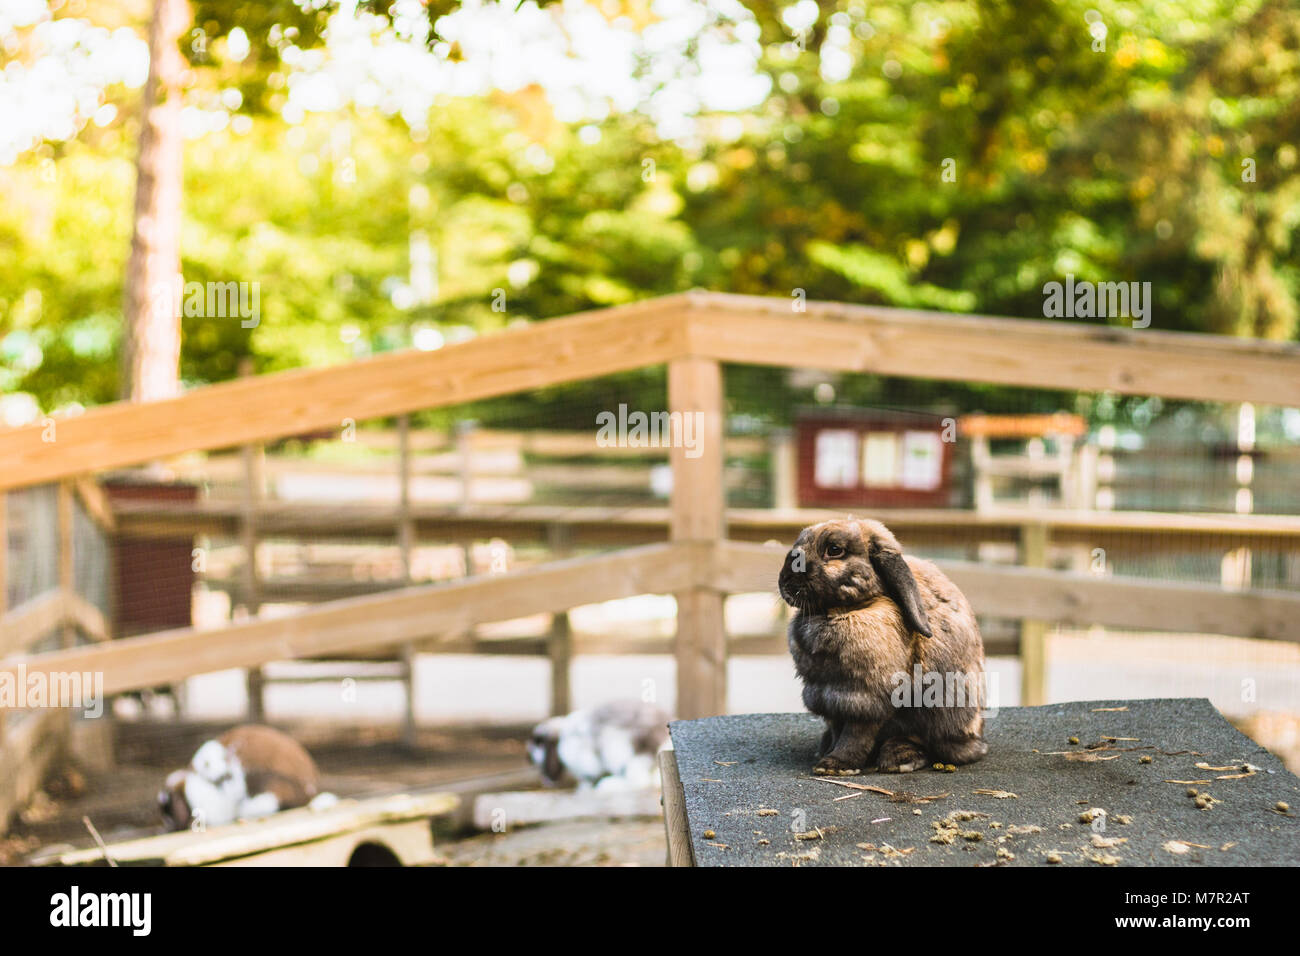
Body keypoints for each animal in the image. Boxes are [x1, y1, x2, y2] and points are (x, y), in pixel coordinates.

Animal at [527, 701, 670, 791]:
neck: (562, 737)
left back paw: (607, 785)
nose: (546, 780)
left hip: (627, 755)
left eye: (538, 747)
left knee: (639, 781)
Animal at [778, 517, 987, 775]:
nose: (785, 581)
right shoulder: (830, 699)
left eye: (834, 550)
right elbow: (838, 729)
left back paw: (900, 760)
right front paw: (829, 756)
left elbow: (855, 734)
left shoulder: (866, 700)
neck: (837, 611)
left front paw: (835, 766)